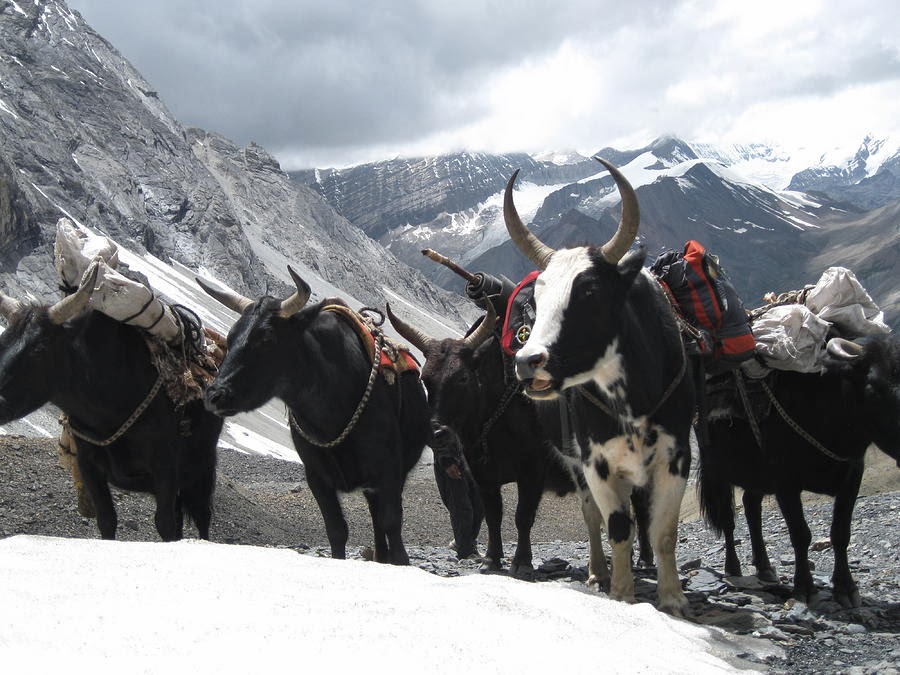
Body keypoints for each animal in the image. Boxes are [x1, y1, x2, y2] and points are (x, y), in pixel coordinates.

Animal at [0, 266, 222, 540]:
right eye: (3, 342)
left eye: (39, 349)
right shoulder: (88, 466)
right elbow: (107, 519)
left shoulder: (166, 468)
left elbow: (165, 523)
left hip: (202, 467)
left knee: (202, 514)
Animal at [198, 267, 430, 565]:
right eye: (230, 337)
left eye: (266, 337)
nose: (214, 395)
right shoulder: (317, 477)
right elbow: (336, 530)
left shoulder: (388, 470)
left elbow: (392, 524)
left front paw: (400, 562)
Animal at [503, 158, 695, 614]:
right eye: (536, 299)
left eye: (589, 290)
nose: (527, 363)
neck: (632, 400)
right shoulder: (595, 462)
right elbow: (618, 526)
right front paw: (623, 594)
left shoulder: (677, 455)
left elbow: (663, 529)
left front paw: (673, 598)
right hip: (576, 464)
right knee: (594, 518)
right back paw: (598, 573)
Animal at [698, 333, 900, 607]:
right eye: (874, 385)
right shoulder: (786, 483)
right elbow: (800, 534)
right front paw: (805, 588)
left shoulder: (852, 475)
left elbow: (841, 533)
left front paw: (846, 588)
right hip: (718, 471)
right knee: (728, 519)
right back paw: (733, 567)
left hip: (756, 476)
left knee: (751, 507)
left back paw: (764, 567)